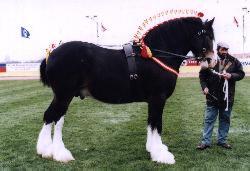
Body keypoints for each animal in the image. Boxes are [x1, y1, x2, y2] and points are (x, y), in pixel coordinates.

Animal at [37, 16, 215, 164]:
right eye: (204, 35)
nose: (212, 60)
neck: (157, 55)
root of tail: (51, 54)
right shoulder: (158, 98)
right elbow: (157, 124)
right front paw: (161, 155)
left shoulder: (153, 100)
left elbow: (151, 123)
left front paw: (153, 149)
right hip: (63, 95)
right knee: (54, 117)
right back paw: (58, 154)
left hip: (63, 96)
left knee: (53, 118)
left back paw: (47, 151)